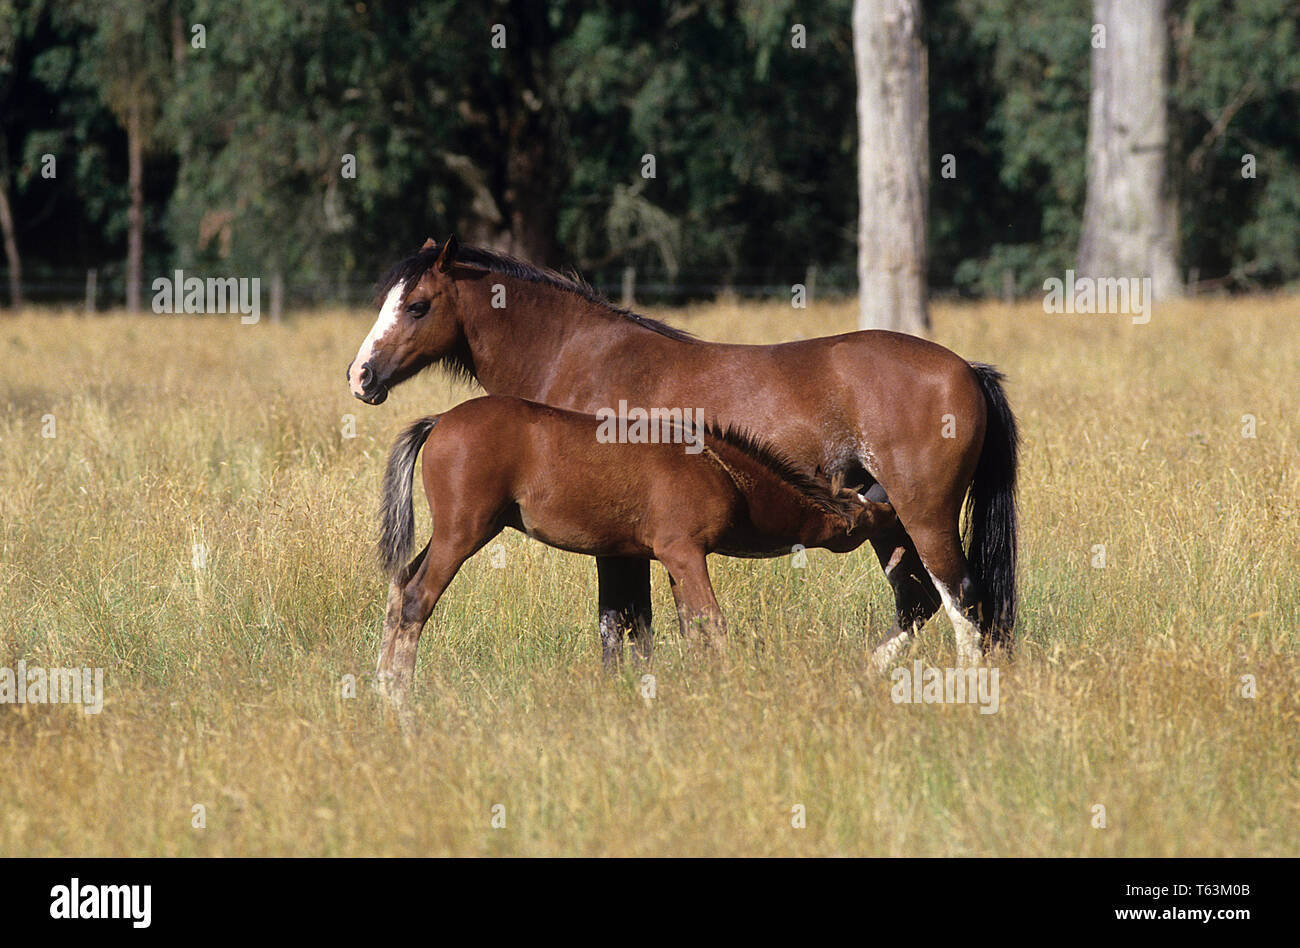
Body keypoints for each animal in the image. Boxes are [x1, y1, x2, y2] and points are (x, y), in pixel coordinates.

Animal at [372, 394, 896, 700]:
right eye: (863, 522)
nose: (893, 517)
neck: (718, 466)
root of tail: (441, 419)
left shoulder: (674, 561)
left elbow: (690, 627)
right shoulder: (684, 553)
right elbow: (712, 624)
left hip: (451, 534)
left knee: (400, 583)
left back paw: (380, 687)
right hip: (464, 533)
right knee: (417, 598)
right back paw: (400, 698)